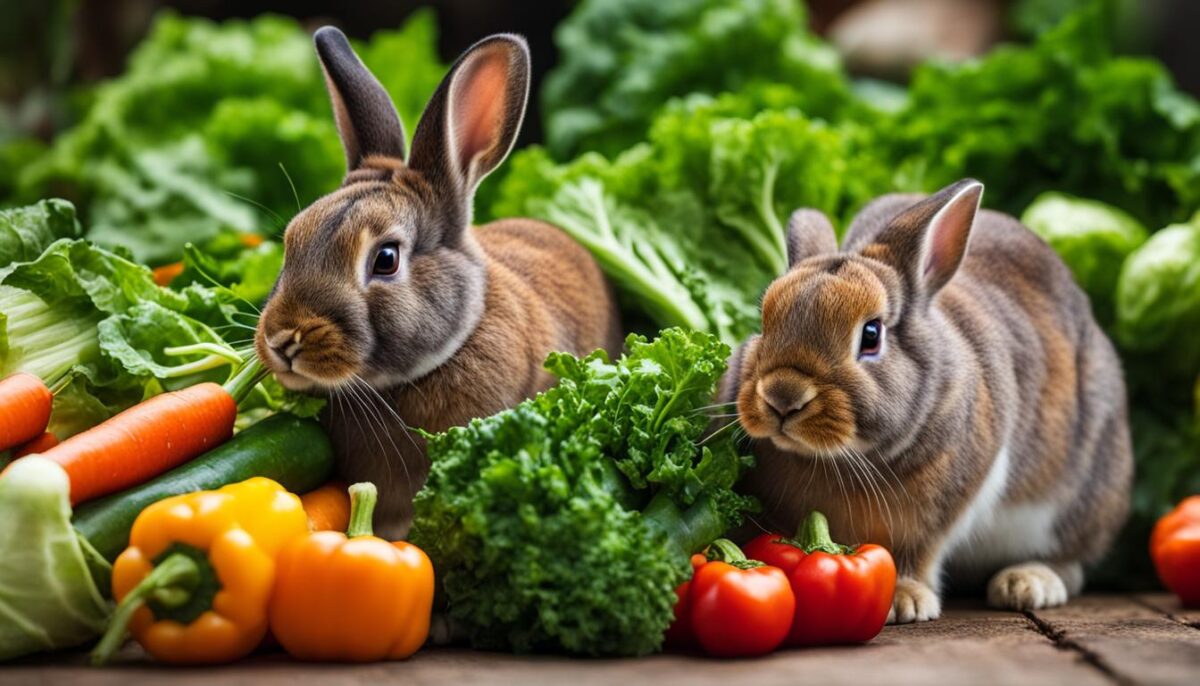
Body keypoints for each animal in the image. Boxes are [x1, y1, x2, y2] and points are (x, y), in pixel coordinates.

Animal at [720, 179, 1132, 622]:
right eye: (764, 322)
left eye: (871, 335)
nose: (782, 397)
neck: (838, 458)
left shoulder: (936, 515)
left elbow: (914, 553)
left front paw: (903, 600)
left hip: (1080, 500)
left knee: (1071, 563)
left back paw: (1026, 584)